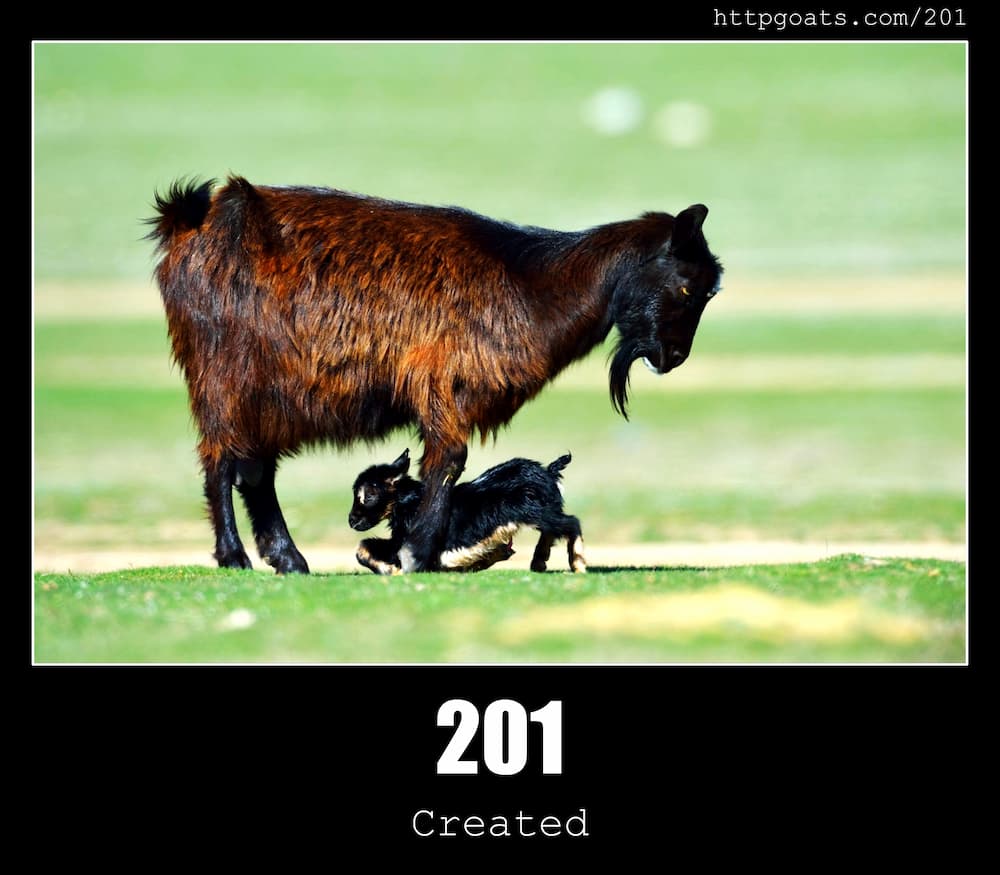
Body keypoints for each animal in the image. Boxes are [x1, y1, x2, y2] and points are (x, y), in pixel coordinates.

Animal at [349, 449, 584, 574]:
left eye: (368, 495)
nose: (352, 521)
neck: (413, 504)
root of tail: (549, 472)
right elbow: (365, 546)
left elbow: (365, 547)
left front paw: (390, 570)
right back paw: (538, 561)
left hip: (536, 512)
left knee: (571, 523)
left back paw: (578, 565)